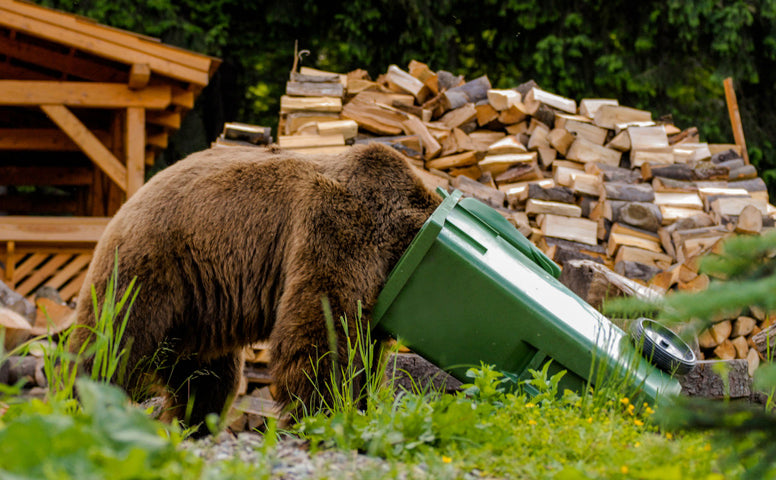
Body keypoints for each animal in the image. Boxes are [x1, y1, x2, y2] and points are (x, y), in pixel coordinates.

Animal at [70, 142, 441, 435]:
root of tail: (134, 197)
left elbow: (363, 351)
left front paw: (359, 405)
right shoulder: (336, 230)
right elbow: (323, 333)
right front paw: (324, 412)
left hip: (198, 304)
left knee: (206, 375)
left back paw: (192, 421)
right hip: (153, 265)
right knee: (112, 339)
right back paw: (81, 398)